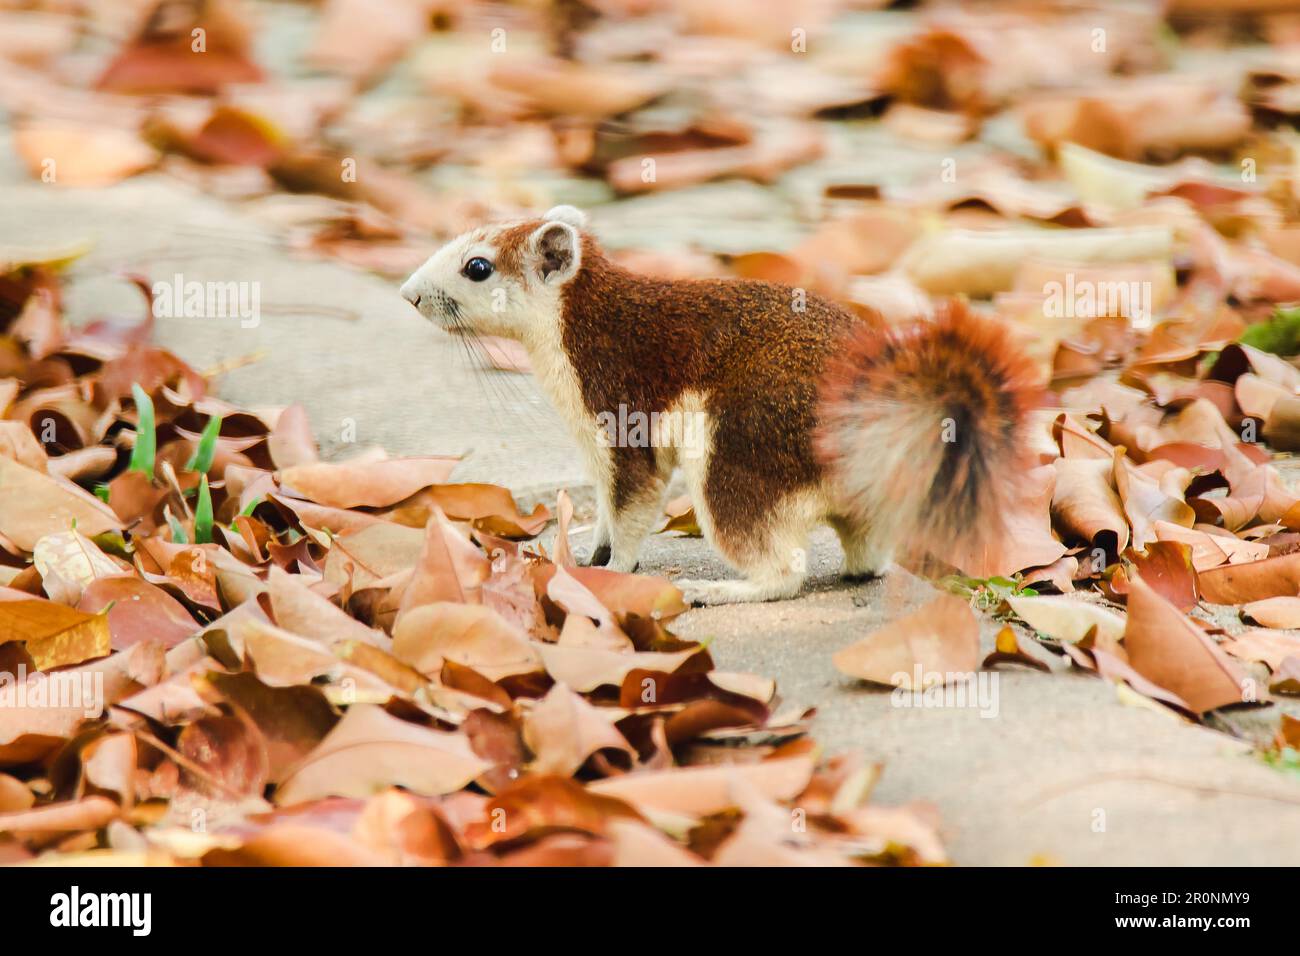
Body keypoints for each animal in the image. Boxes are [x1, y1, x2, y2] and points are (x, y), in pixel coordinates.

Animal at [400, 205, 1040, 605]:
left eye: (477, 266)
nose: (407, 294)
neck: (575, 319)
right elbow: (606, 509)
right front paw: (589, 549)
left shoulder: (620, 408)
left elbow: (631, 506)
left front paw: (611, 570)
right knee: (867, 546)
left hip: (737, 454)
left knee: (782, 570)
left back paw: (720, 590)